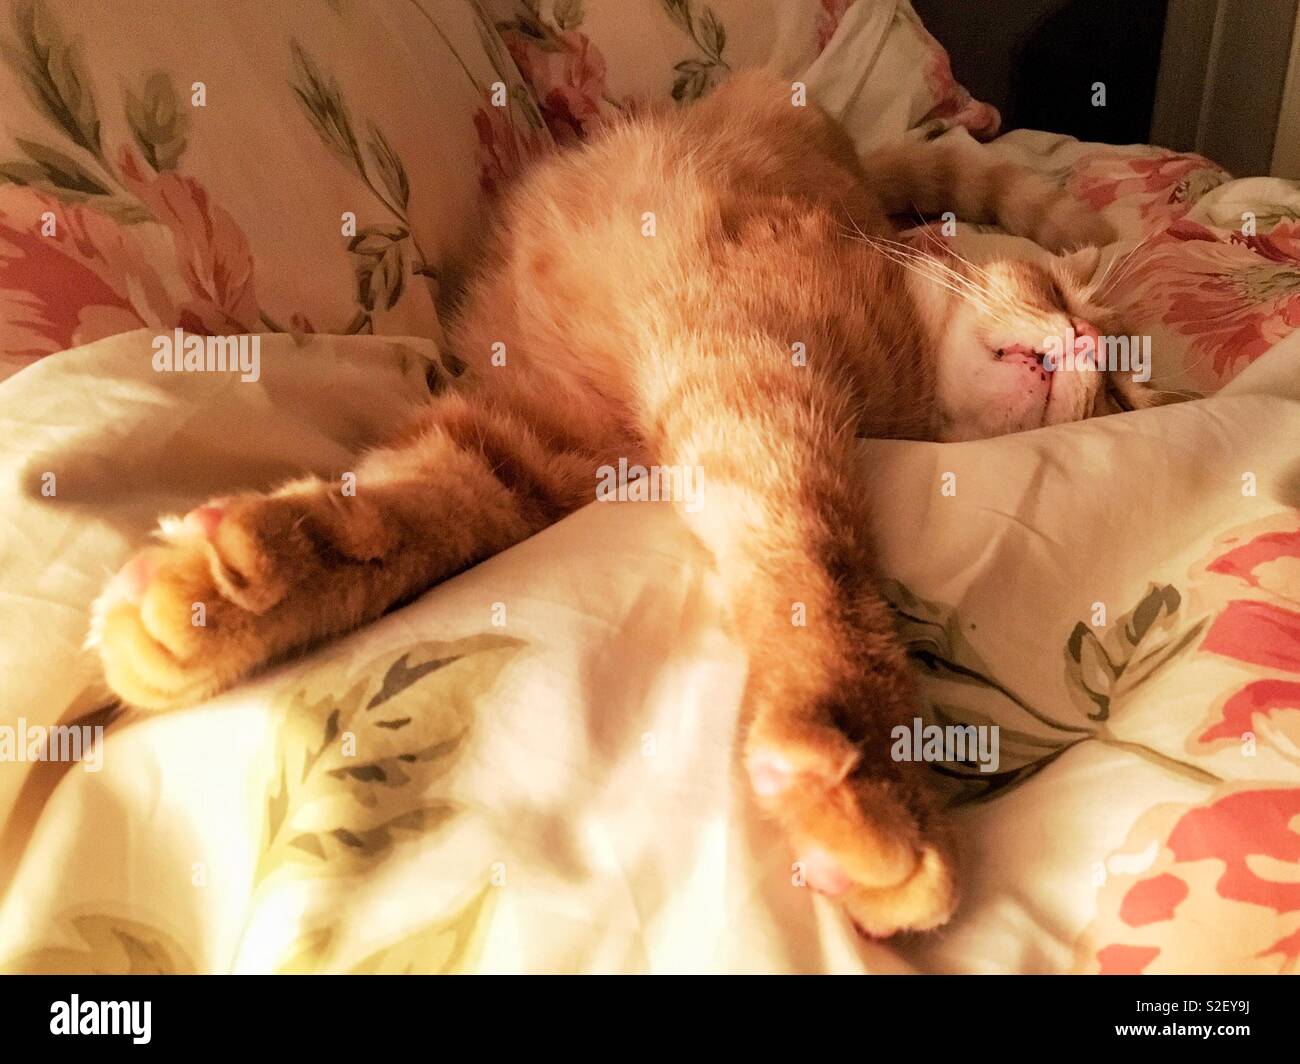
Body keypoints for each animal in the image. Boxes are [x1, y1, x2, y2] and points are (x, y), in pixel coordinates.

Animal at [91, 72, 1170, 936]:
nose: (1088, 341)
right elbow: (817, 567)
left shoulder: (552, 450)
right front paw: (869, 773)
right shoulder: (741, 379)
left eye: (1125, 394)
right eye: (1070, 303)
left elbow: (413, 521)